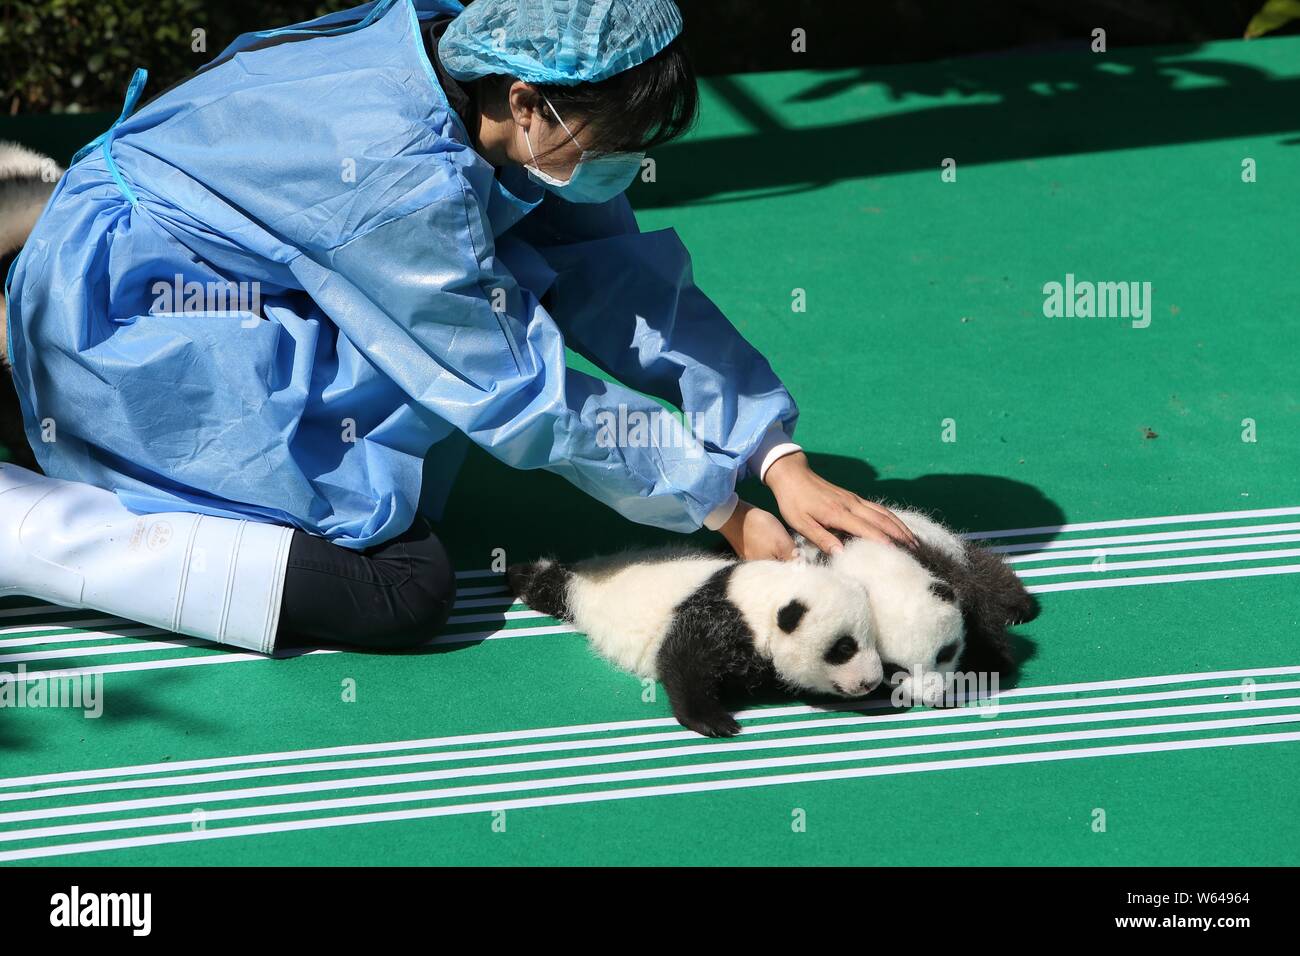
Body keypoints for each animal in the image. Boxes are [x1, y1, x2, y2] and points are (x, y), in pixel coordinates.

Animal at [506, 547, 883, 738]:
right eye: (844, 649)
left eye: (872, 641)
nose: (871, 682)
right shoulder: (718, 618)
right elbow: (683, 663)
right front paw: (715, 721)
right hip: (581, 597)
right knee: (550, 586)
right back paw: (519, 573)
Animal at [796, 507, 1039, 708]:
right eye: (895, 670)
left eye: (944, 654)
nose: (935, 696)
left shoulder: (932, 558)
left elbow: (979, 609)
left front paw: (994, 662)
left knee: (986, 571)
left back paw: (1017, 608)